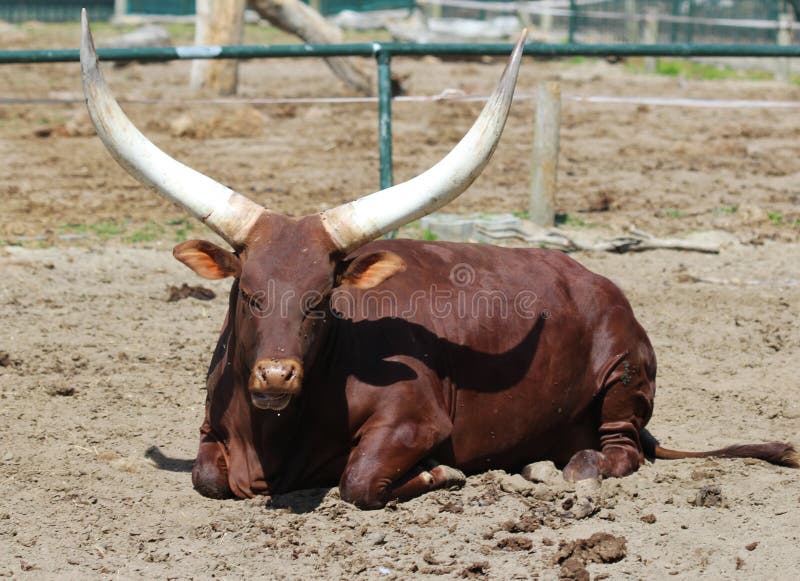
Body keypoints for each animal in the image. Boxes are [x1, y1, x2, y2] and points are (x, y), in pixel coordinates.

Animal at [80, 11, 796, 509]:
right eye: (249, 293)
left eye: (322, 300)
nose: (276, 375)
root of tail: (603, 286)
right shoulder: (210, 427)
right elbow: (206, 476)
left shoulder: (415, 419)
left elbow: (360, 480)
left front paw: (440, 473)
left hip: (624, 377)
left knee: (621, 453)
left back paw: (568, 468)